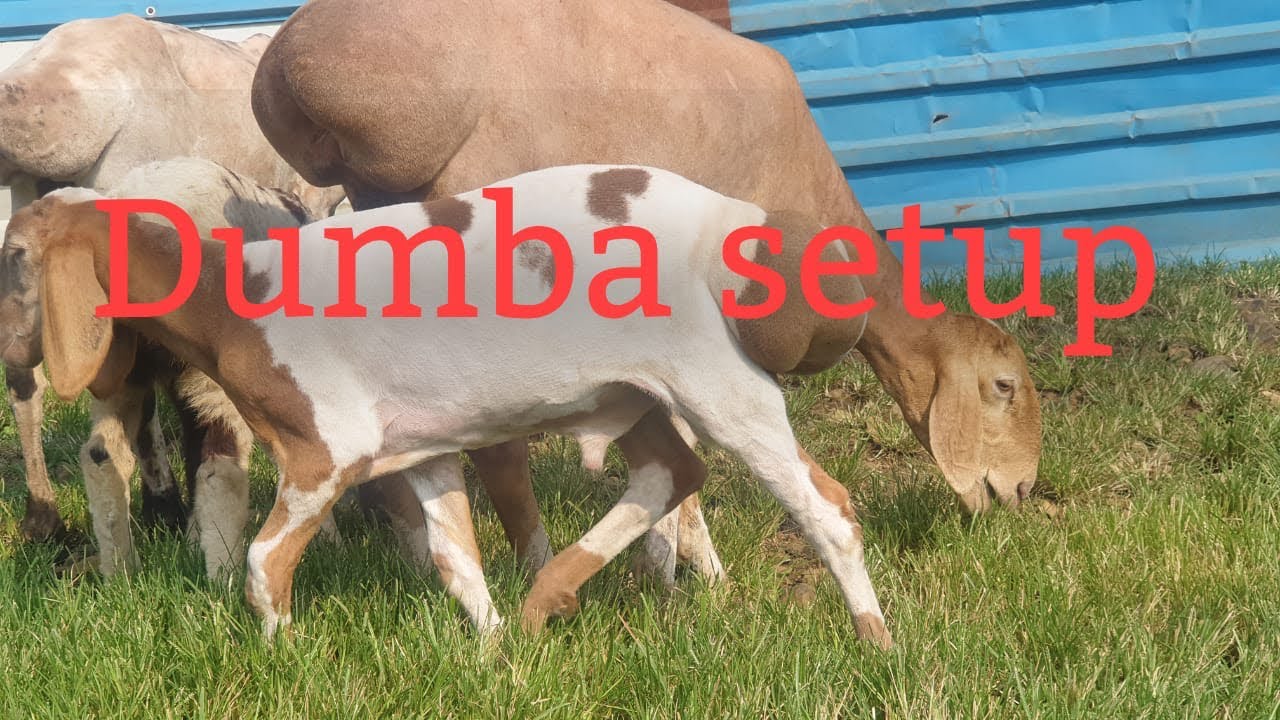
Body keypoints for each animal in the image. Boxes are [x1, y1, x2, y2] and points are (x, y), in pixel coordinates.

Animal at [5, 164, 893, 648]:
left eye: (14, 254)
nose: (15, 361)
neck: (232, 299)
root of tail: (725, 223)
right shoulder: (423, 449)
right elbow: (456, 561)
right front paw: (495, 653)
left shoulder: (324, 448)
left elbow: (263, 563)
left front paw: (279, 650)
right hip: (638, 392)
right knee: (674, 473)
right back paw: (545, 599)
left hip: (718, 381)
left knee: (826, 507)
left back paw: (875, 641)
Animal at [251, 0, 1043, 582]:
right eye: (1002, 387)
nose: (1022, 493)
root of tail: (296, 61)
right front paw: (689, 570)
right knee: (497, 446)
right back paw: (532, 564)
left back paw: (417, 553)